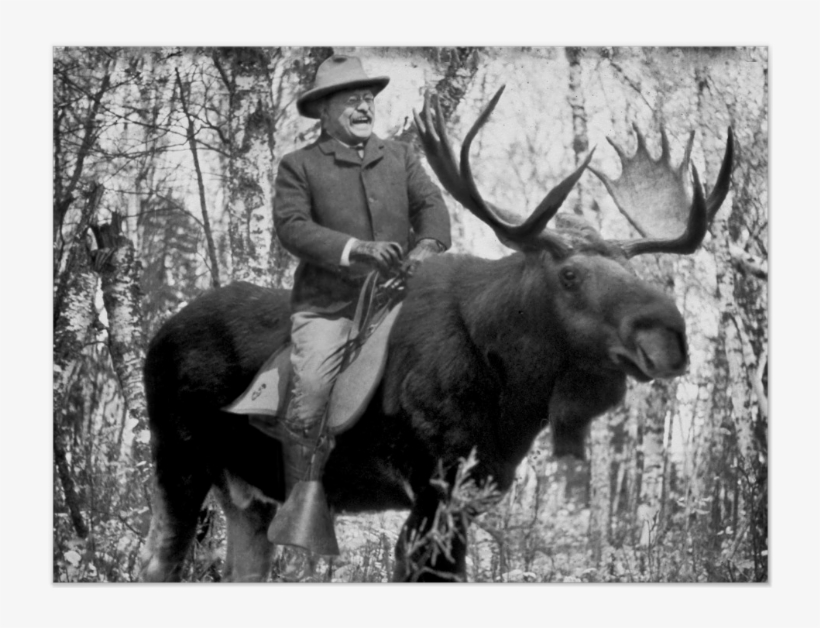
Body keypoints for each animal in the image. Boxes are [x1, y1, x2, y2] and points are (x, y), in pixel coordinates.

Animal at [139, 88, 733, 582]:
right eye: (569, 275)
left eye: (632, 270)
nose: (670, 337)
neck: (514, 395)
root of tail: (157, 334)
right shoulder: (433, 485)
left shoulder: (475, 490)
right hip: (178, 459)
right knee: (158, 563)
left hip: (249, 496)